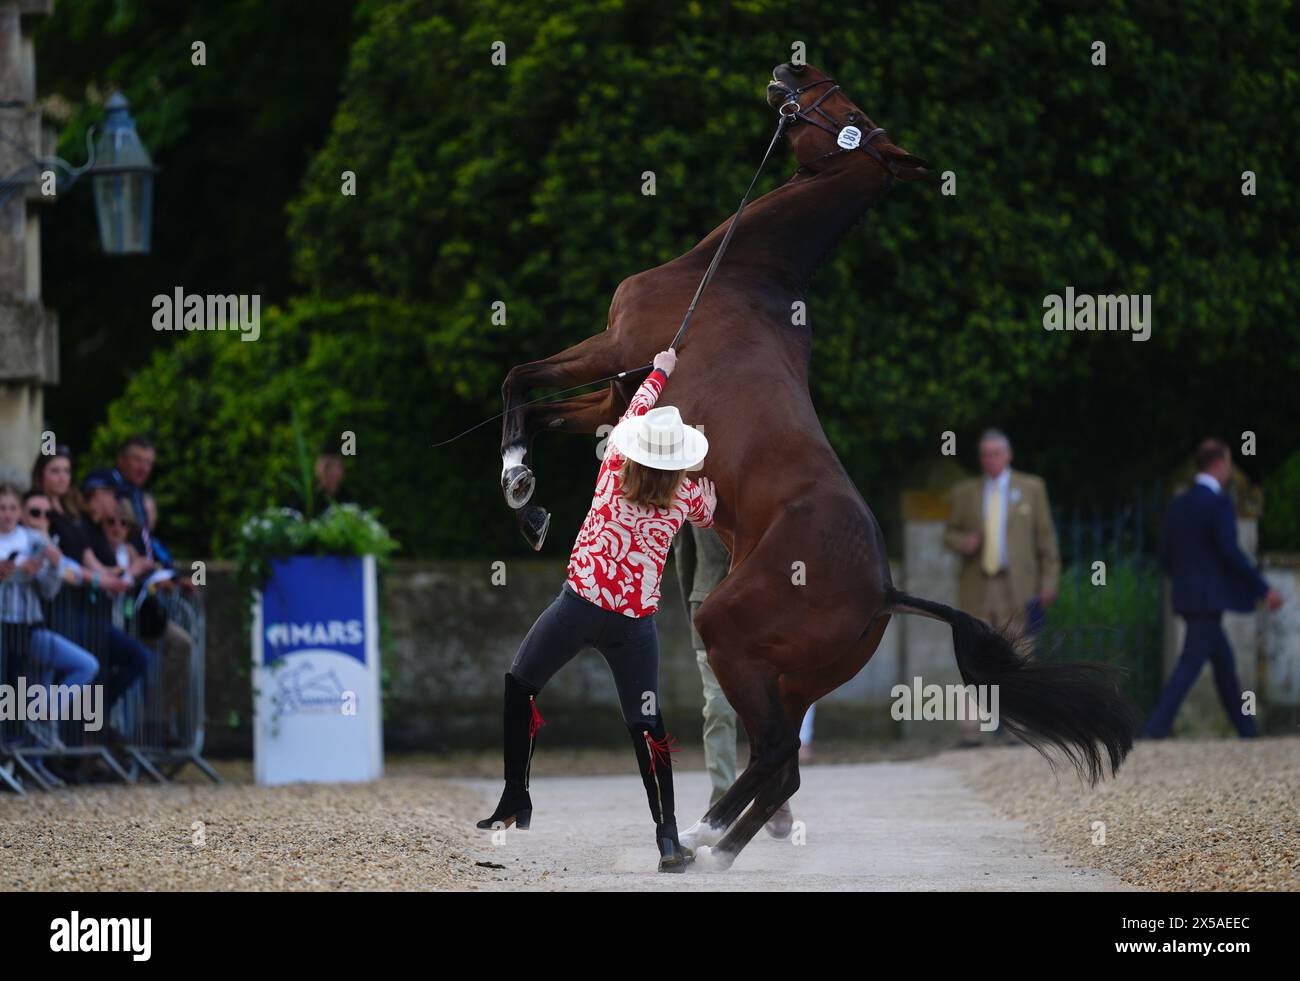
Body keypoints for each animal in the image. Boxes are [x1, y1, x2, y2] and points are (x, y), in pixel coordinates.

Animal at [497, 62, 1139, 869]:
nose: (793, 70)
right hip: (792, 677)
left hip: (732, 636)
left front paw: (516, 480)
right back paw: (718, 840)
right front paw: (529, 499)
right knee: (783, 764)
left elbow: (519, 378)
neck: (734, 274)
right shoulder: (616, 397)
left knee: (775, 753)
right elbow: (535, 401)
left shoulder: (614, 354)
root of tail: (886, 590)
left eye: (851, 111)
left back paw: (704, 839)